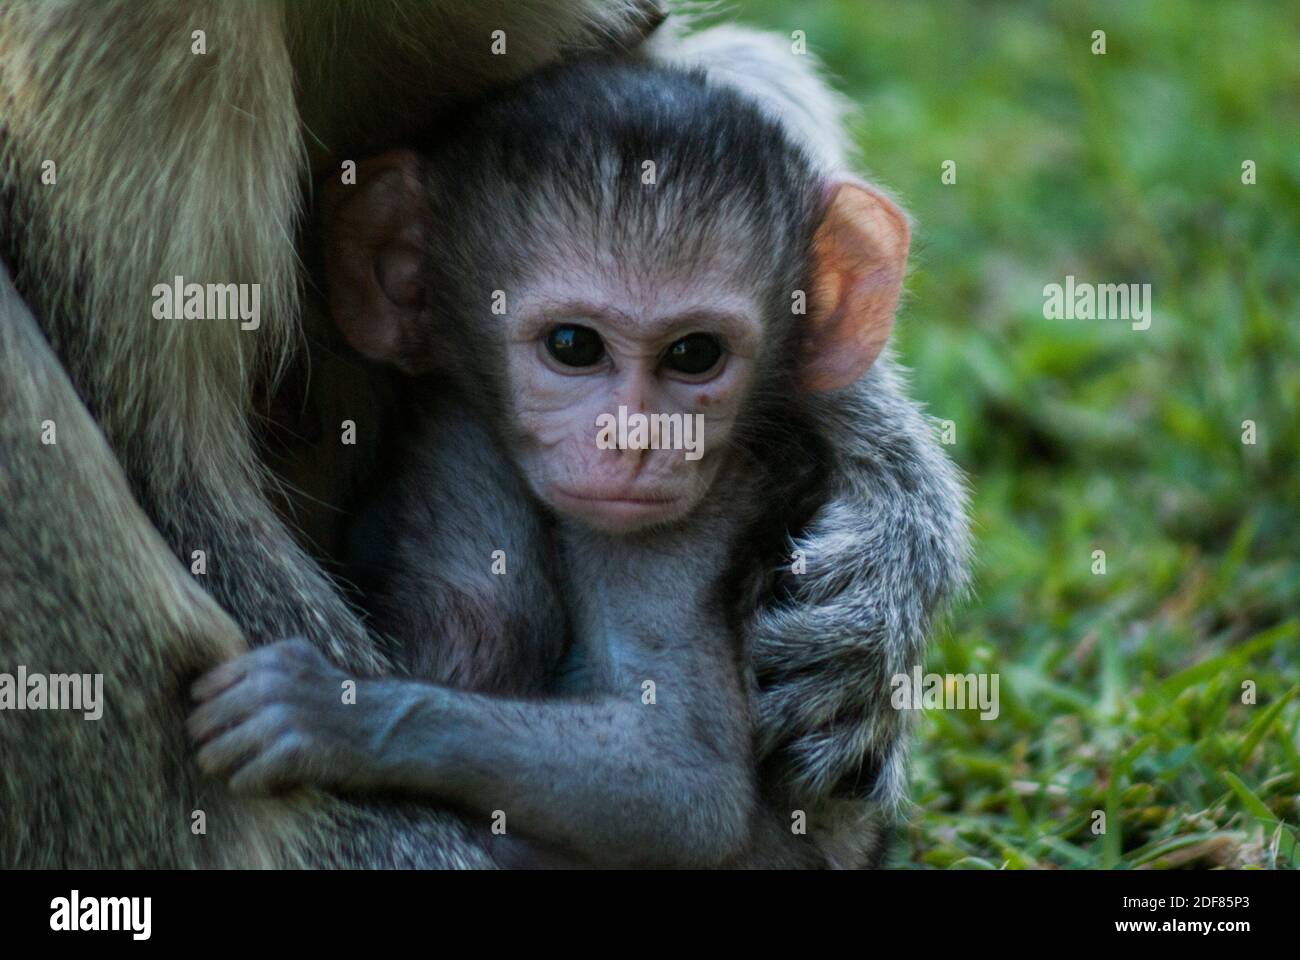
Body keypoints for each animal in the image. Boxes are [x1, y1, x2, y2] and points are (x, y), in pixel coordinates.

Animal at [0, 0, 968, 869]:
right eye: (573, 347)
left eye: (695, 355)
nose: (635, 442)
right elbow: (172, 460)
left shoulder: (666, 535)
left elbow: (676, 770)